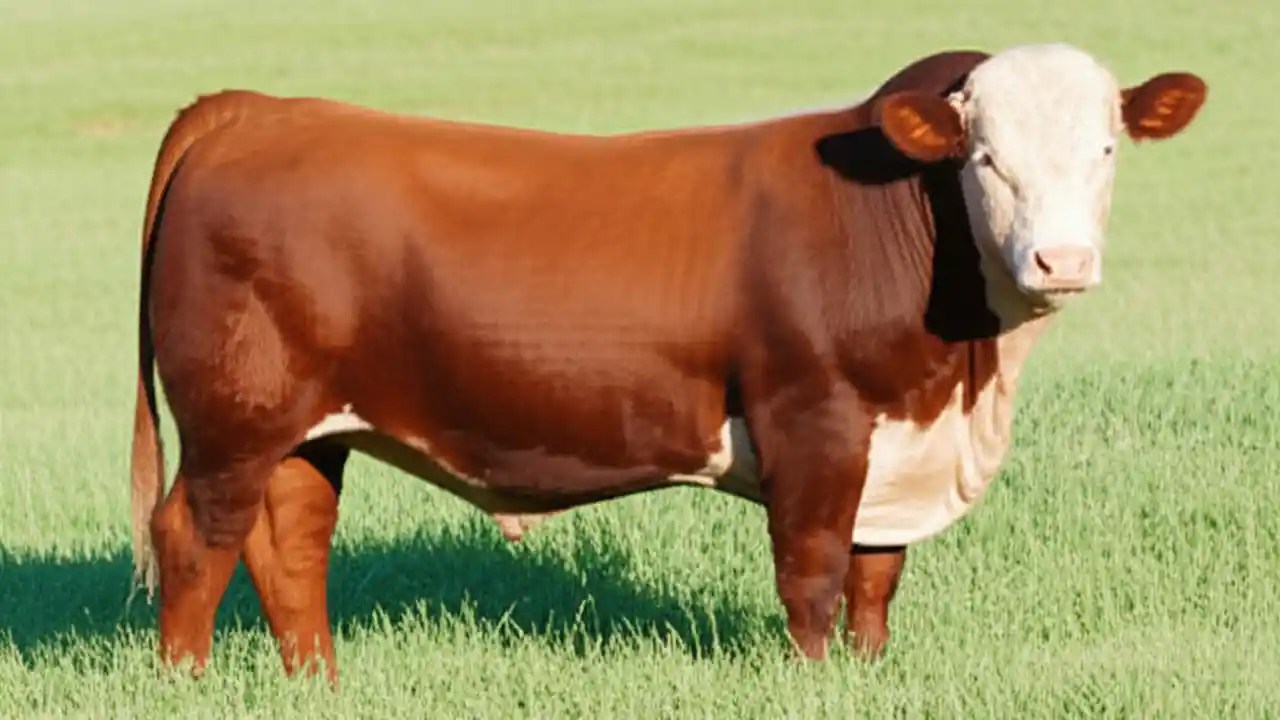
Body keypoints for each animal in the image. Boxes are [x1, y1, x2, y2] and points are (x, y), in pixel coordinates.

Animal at [129, 43, 1206, 683]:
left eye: (1107, 148)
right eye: (983, 158)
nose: (1061, 261)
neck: (965, 384)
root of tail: (259, 109)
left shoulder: (895, 440)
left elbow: (875, 577)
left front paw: (866, 675)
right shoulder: (813, 418)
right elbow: (813, 572)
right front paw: (818, 684)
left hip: (307, 424)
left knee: (289, 545)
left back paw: (316, 679)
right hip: (231, 418)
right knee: (193, 537)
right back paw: (185, 682)